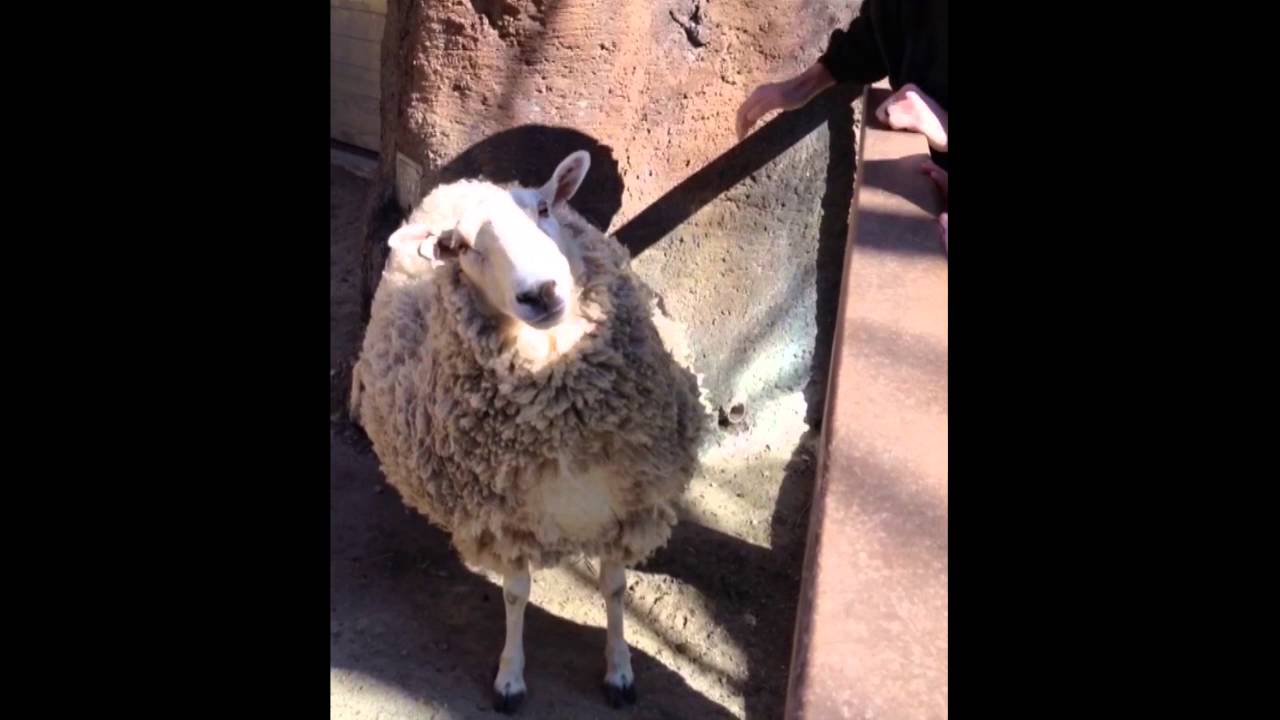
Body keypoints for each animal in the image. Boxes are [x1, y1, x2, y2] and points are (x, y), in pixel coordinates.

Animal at [349, 150, 710, 713]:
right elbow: (516, 595)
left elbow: (615, 589)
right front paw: (510, 678)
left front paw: (620, 671)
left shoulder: (627, 509)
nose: (541, 293)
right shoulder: (504, 519)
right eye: (460, 247)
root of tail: (469, 178)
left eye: (543, 209)